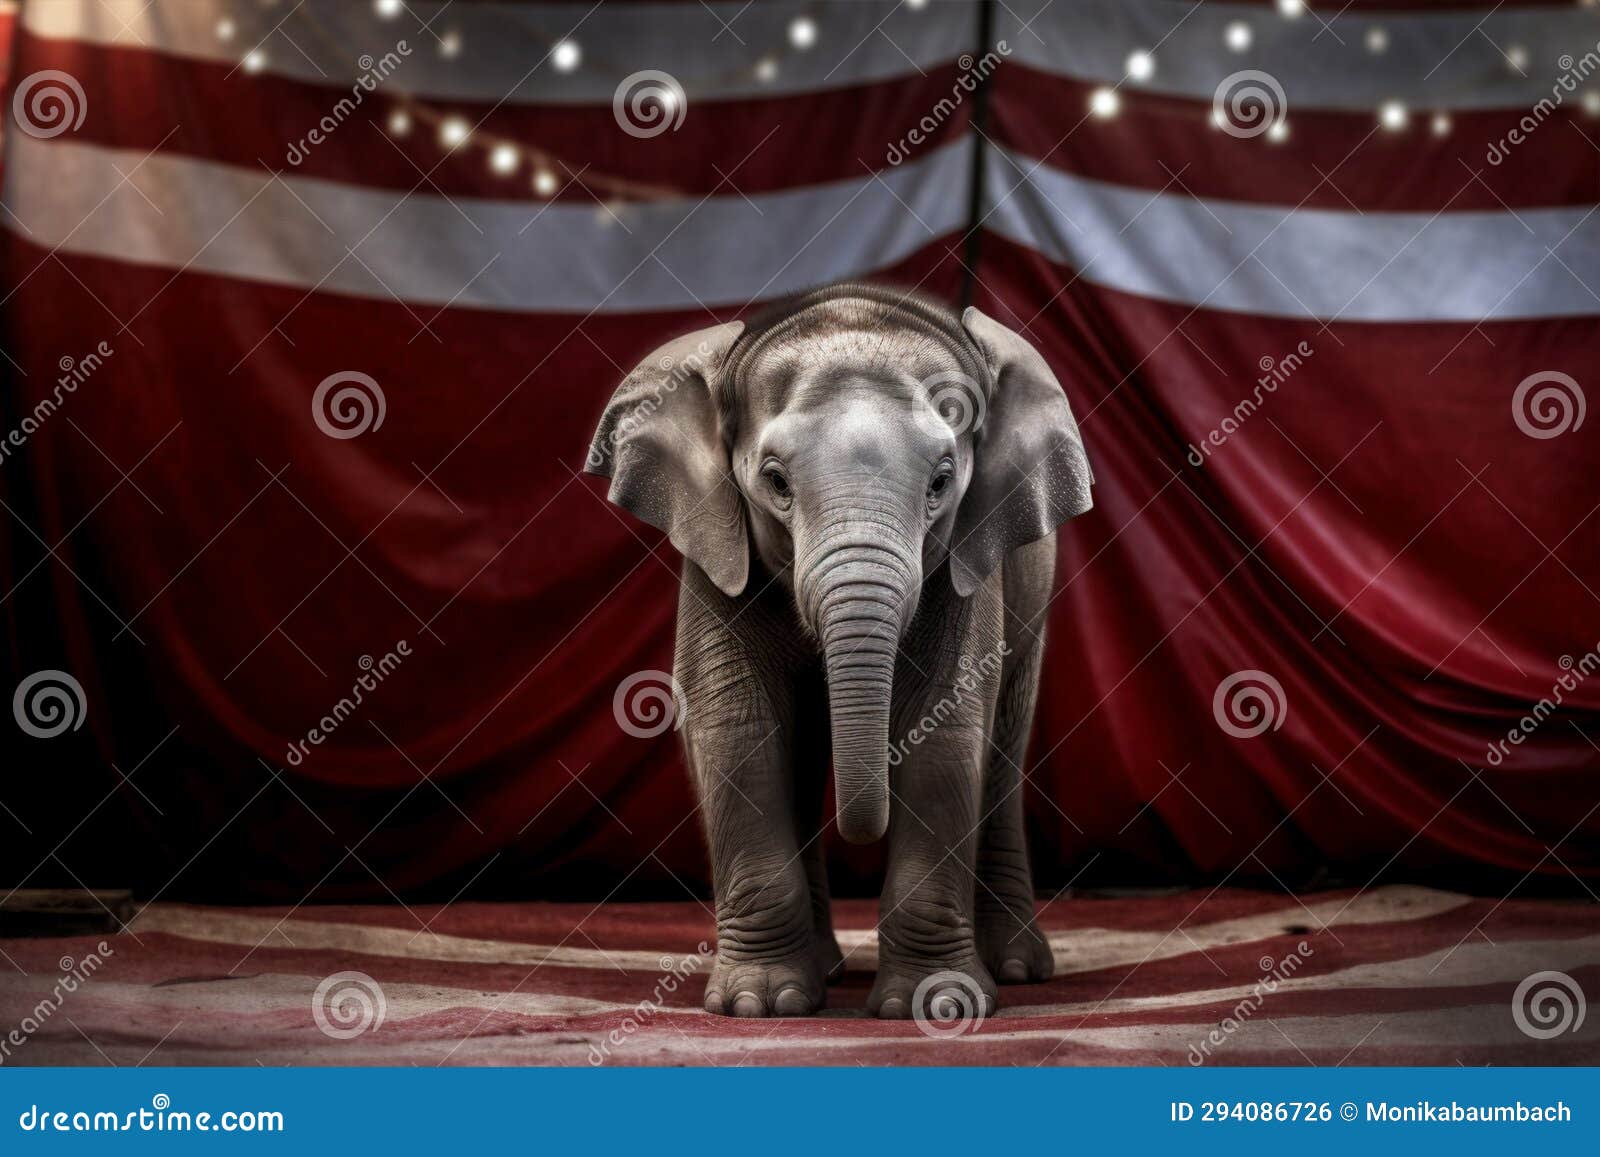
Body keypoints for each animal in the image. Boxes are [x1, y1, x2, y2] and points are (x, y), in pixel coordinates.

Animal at [585, 282, 1093, 1019]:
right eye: (775, 482)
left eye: (942, 482)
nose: (862, 833)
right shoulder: (716, 546)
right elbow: (736, 726)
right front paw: (761, 1006)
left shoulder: (966, 560)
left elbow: (941, 734)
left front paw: (935, 1007)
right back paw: (820, 971)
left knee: (1002, 746)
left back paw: (1020, 969)